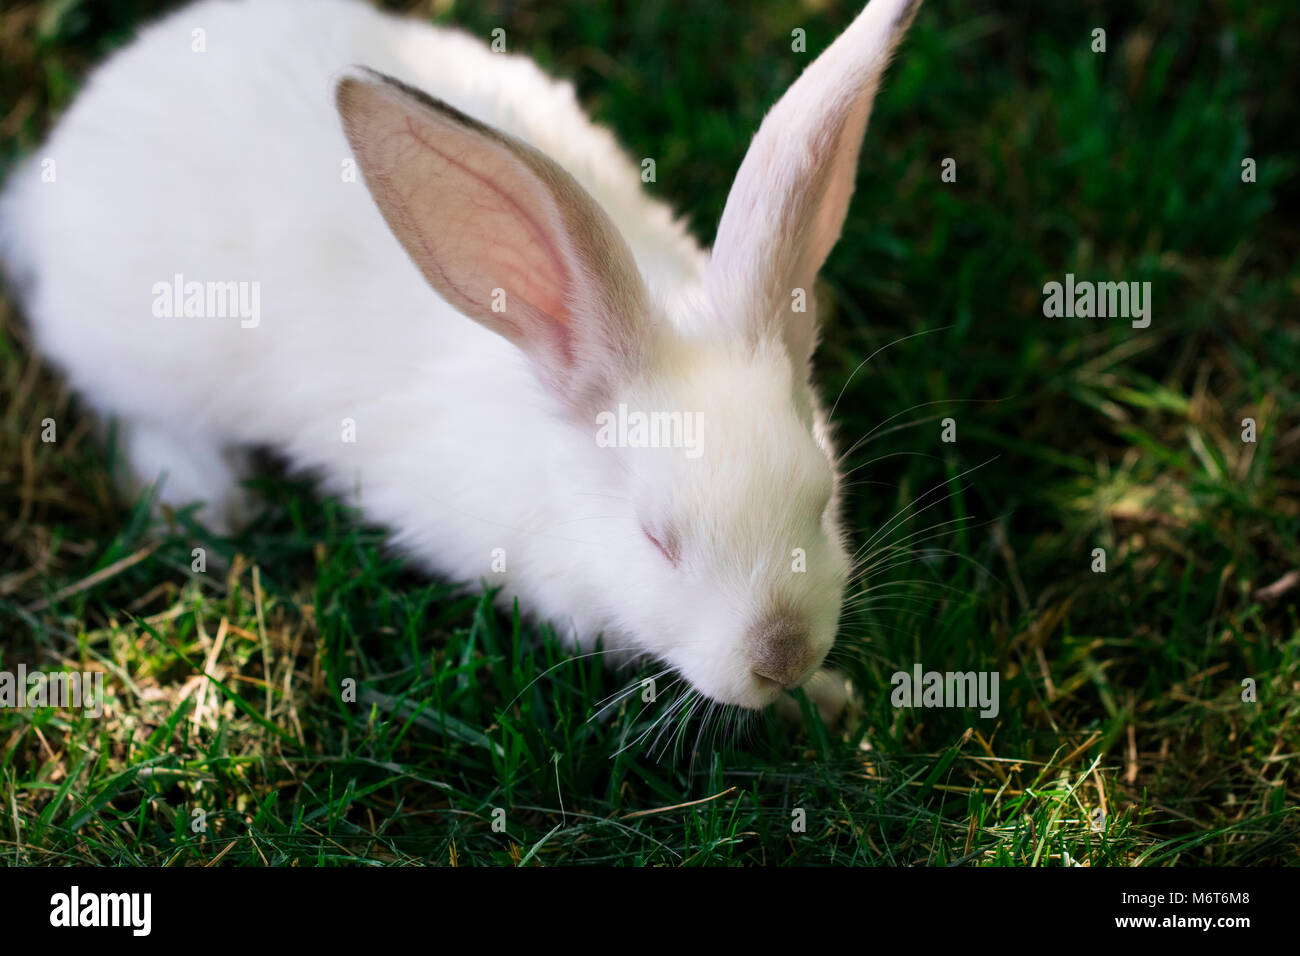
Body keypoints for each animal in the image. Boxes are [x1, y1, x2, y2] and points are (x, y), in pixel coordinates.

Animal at [0, 0, 921, 712]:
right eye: (658, 542)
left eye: (822, 501)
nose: (782, 655)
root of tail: (50, 177)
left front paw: (831, 699)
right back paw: (210, 499)